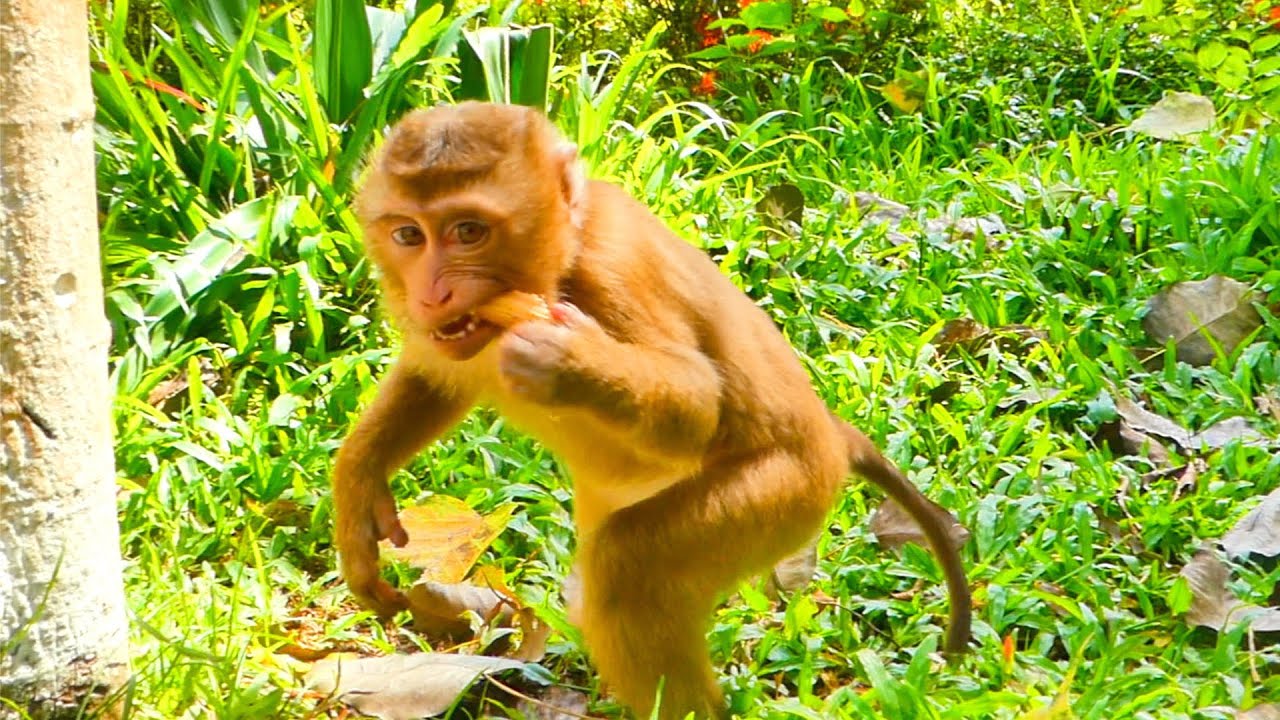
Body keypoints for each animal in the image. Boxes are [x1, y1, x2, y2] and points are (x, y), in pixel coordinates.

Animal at [332, 101, 971, 720]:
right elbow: (430, 375)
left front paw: (568, 360)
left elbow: (700, 407)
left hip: (784, 491)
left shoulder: (612, 273)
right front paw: (359, 489)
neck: (564, 254)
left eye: (468, 231)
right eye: (410, 235)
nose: (432, 292)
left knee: (628, 570)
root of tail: (833, 438)